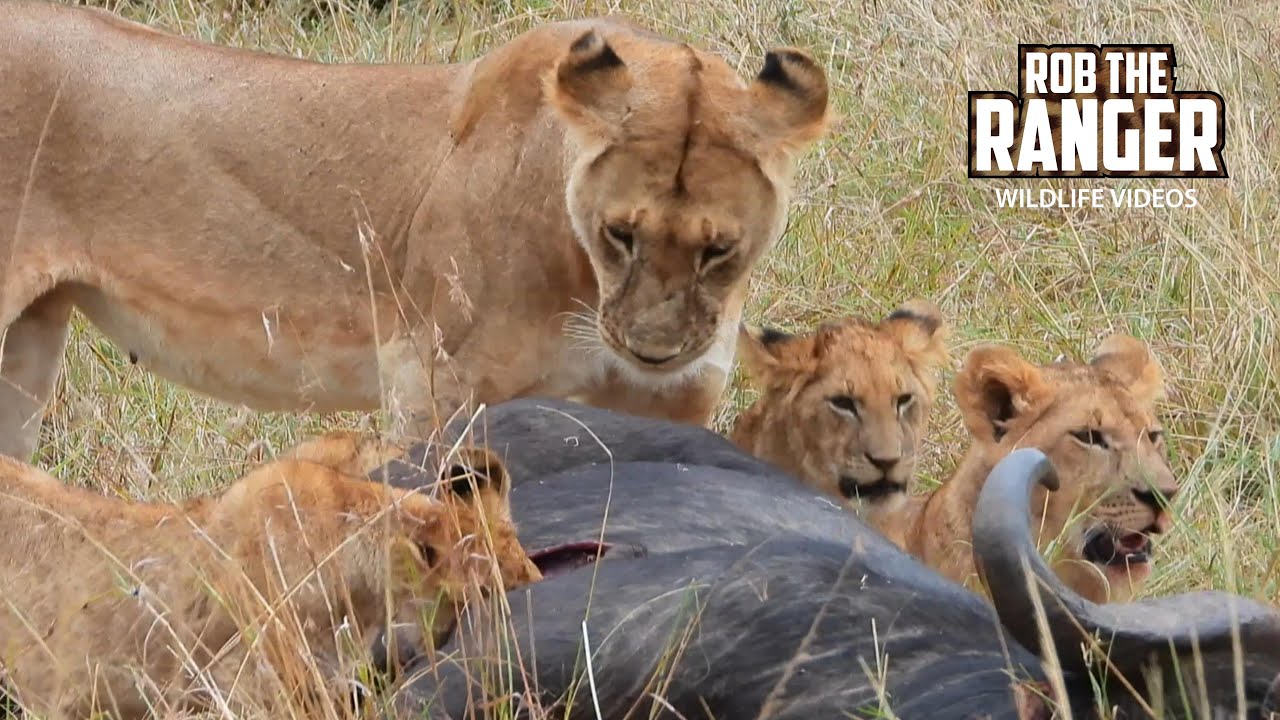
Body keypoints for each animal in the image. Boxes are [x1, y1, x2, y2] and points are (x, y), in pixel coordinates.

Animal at [0, 2, 830, 462]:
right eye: (620, 233)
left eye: (719, 249)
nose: (652, 350)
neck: (579, 279)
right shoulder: (436, 387)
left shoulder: (675, 403)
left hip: (29, 341)